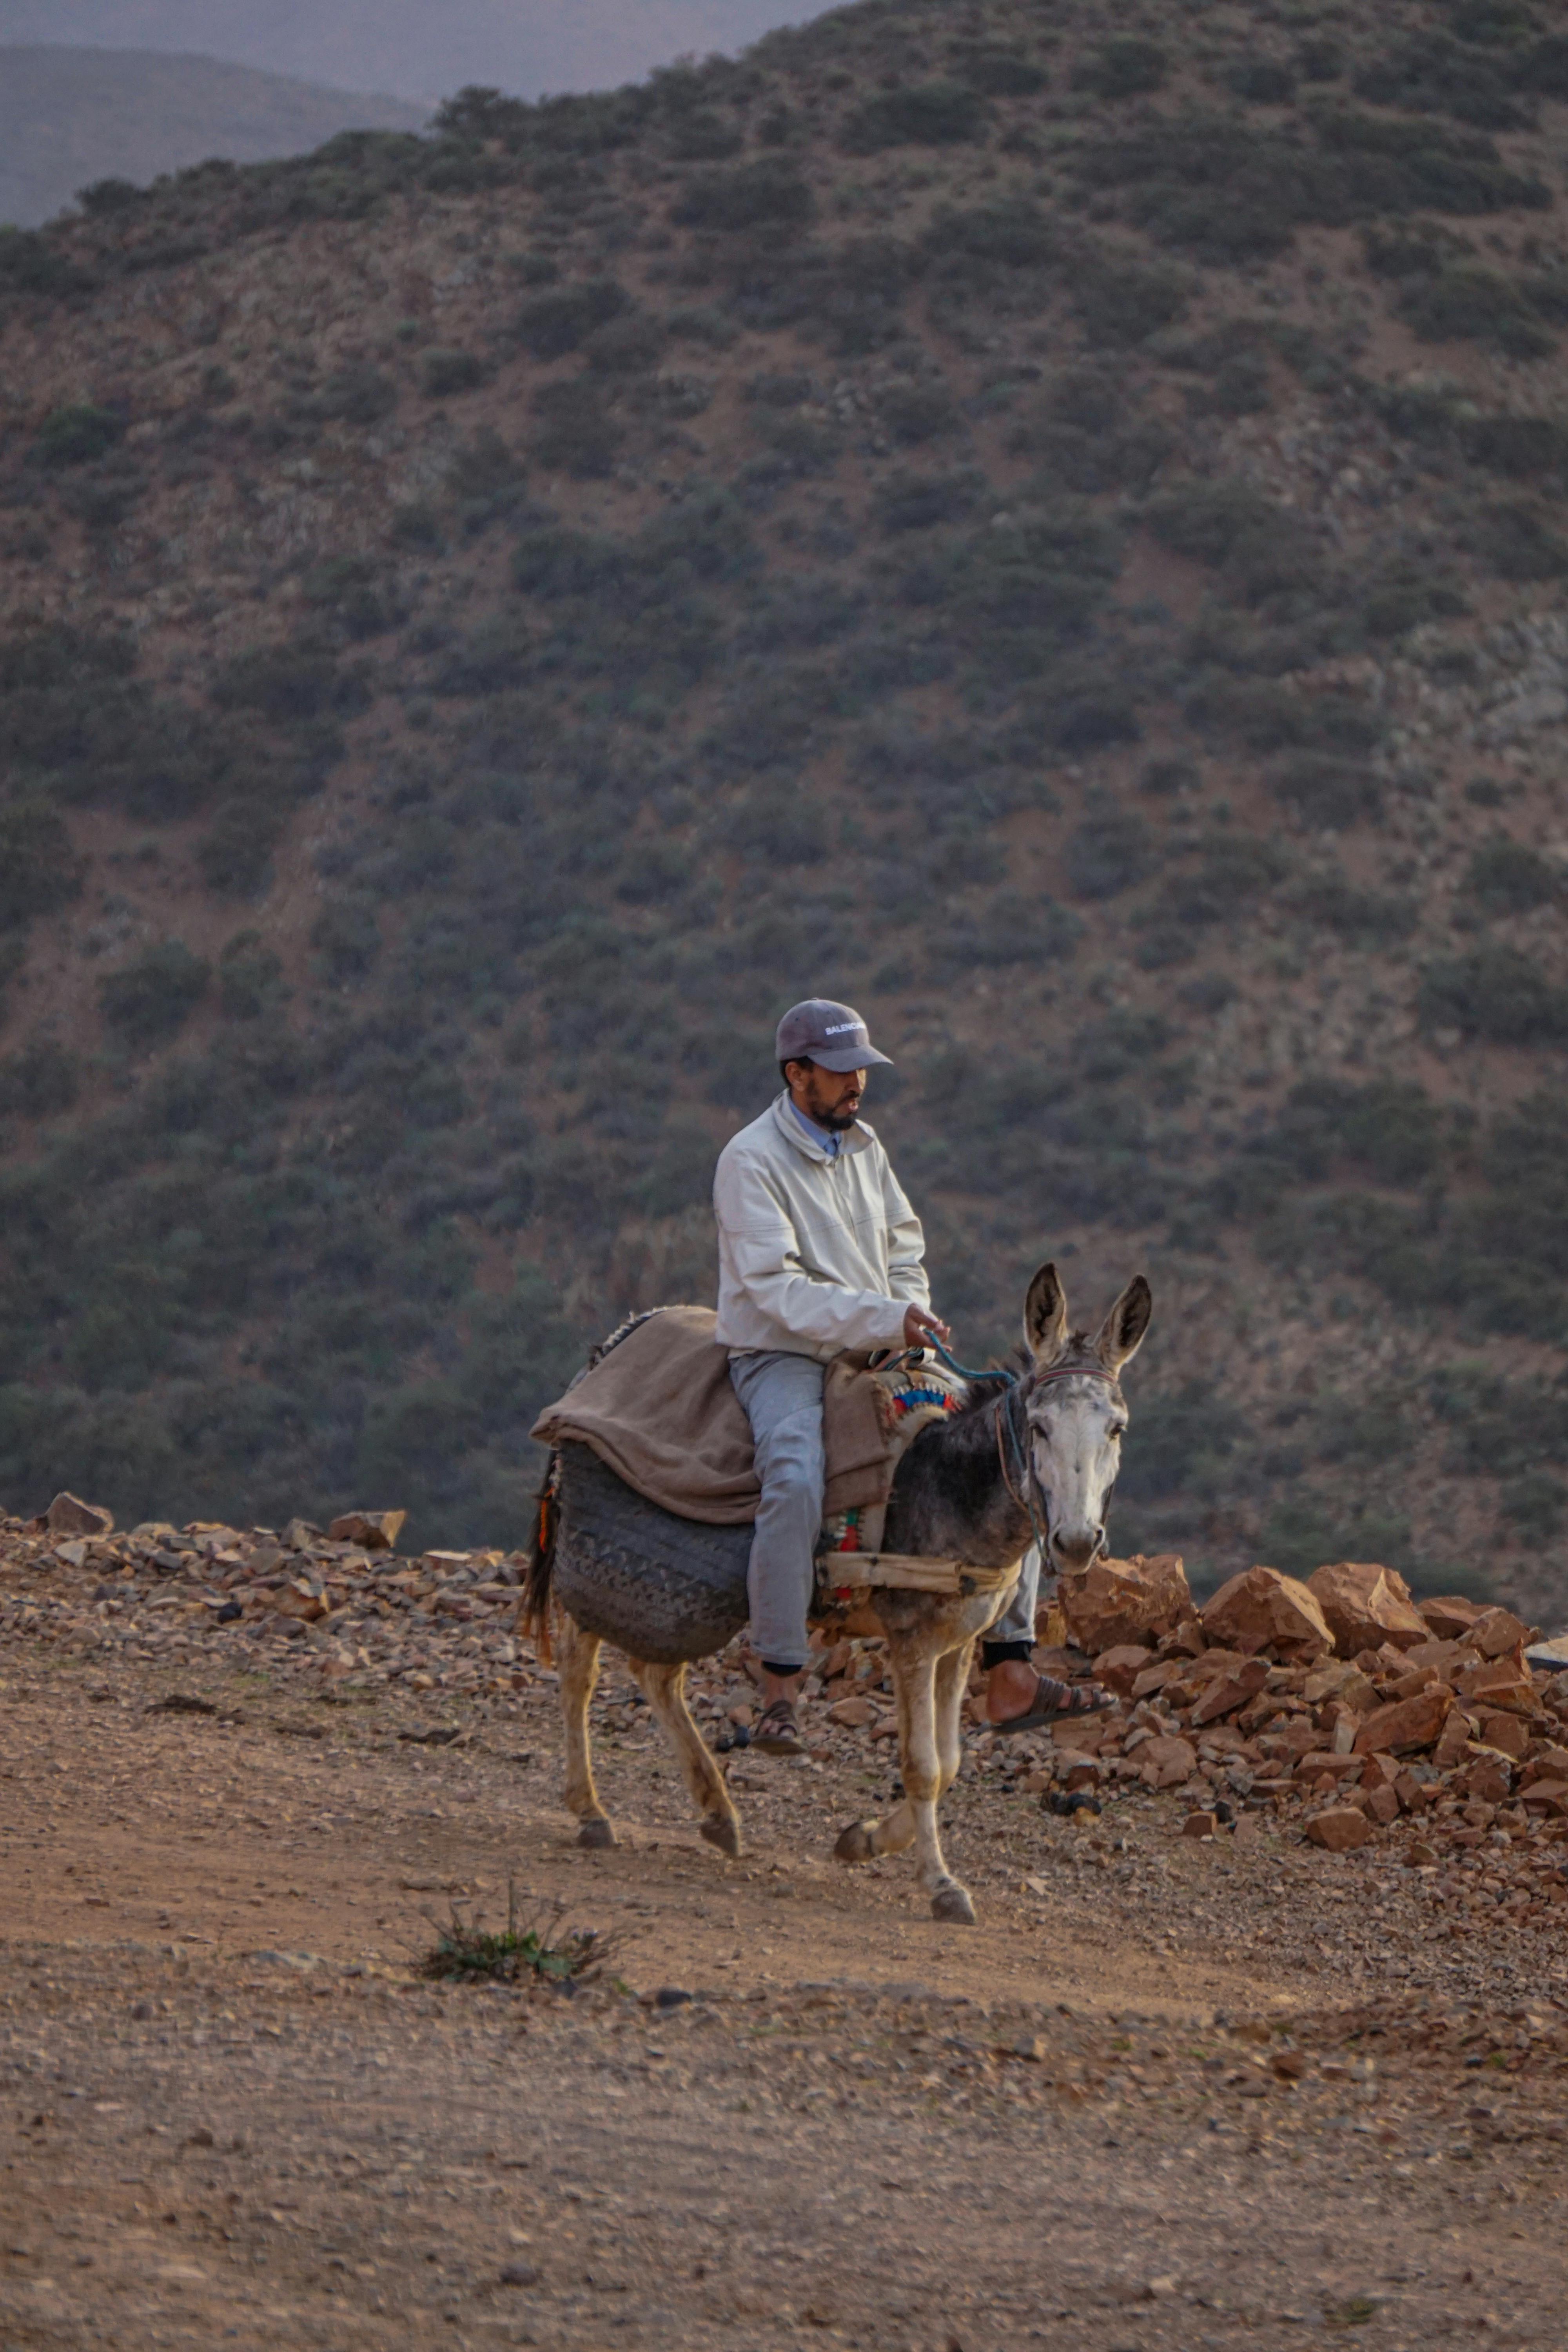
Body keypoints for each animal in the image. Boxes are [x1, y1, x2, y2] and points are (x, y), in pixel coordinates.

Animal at [524, 1261, 1151, 1923]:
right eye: (1039, 1426)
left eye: (1116, 1428)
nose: (1076, 1542)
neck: (947, 1484)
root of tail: (606, 1352)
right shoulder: (911, 1640)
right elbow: (923, 1766)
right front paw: (940, 1884)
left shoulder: (957, 1643)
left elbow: (950, 1764)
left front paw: (865, 1840)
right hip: (609, 1556)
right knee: (579, 1670)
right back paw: (592, 1812)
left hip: (686, 1597)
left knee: (656, 1675)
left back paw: (717, 1814)